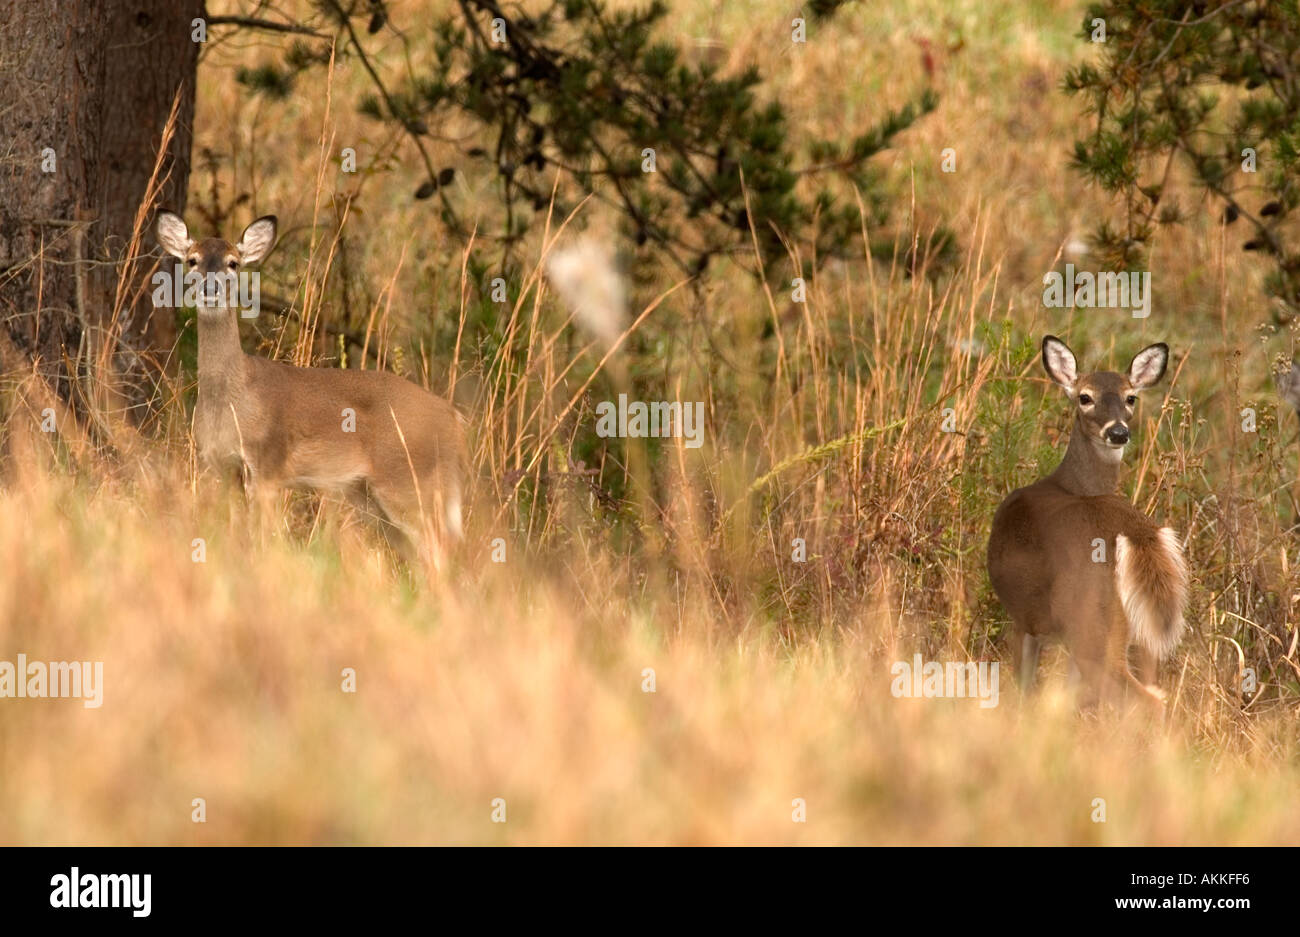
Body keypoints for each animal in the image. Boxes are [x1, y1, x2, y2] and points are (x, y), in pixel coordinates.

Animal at [155, 210, 467, 574]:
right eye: (192, 259)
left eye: (233, 263)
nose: (210, 287)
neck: (233, 399)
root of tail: (454, 418)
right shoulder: (221, 468)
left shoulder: (268, 465)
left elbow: (264, 539)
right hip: (378, 498)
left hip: (410, 481)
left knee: (443, 550)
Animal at [987, 335, 1188, 711]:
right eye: (1085, 397)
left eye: (1130, 397)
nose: (1119, 433)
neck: (1070, 484)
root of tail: (1135, 532)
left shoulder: (1024, 619)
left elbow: (1024, 689)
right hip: (1145, 635)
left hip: (1090, 620)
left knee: (1142, 699)